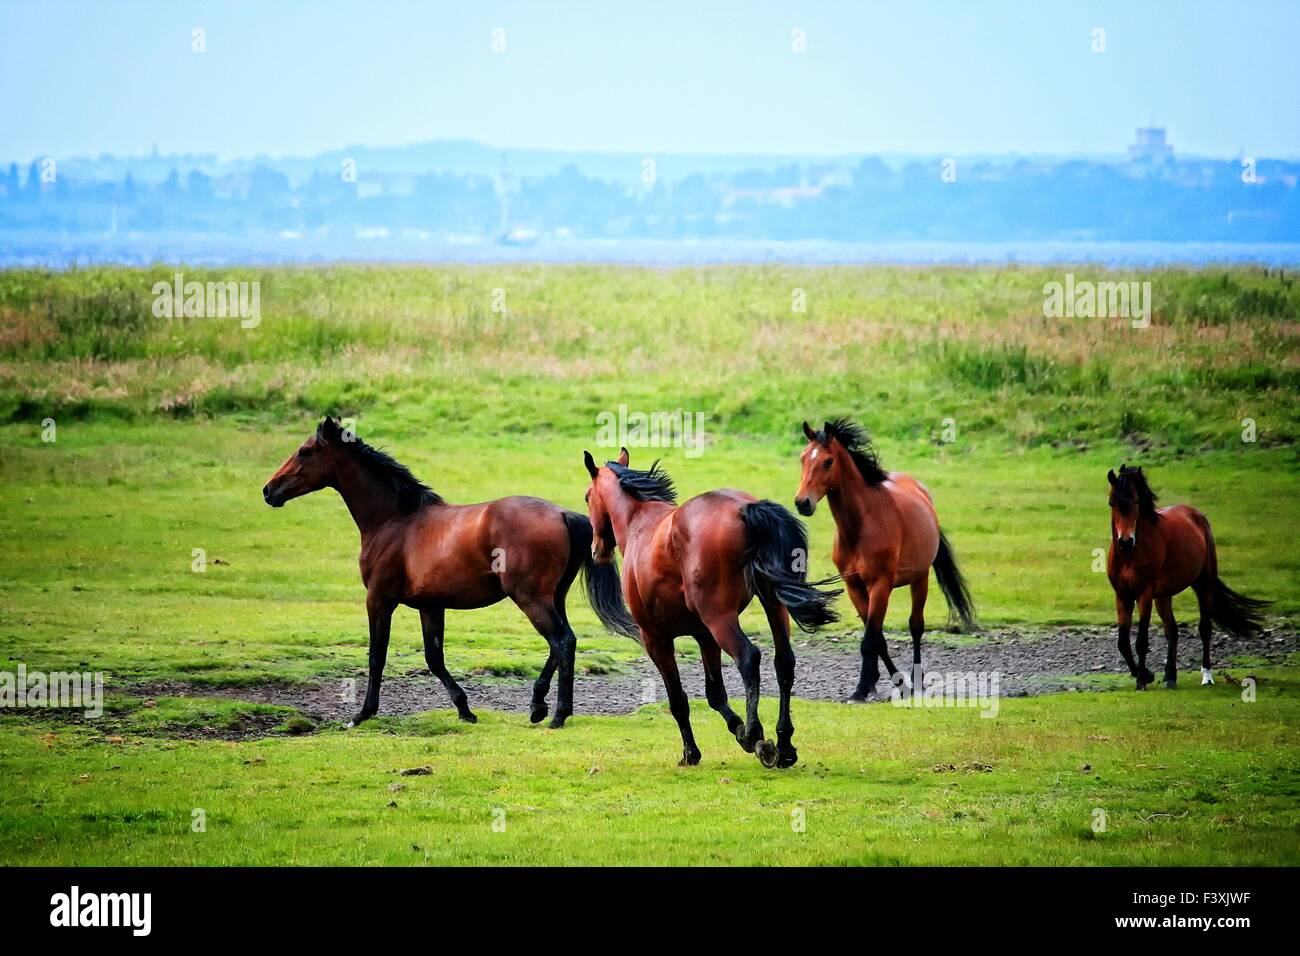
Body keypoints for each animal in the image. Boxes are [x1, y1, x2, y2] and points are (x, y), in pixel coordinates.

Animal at [262, 417, 636, 729]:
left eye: (304, 452)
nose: (268, 490)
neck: (395, 521)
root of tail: (563, 514)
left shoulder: (379, 600)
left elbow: (376, 656)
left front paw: (362, 714)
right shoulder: (431, 605)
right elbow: (434, 658)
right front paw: (464, 710)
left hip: (530, 598)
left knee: (562, 641)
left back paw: (557, 714)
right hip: (552, 598)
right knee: (561, 644)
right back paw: (537, 706)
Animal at [583, 447, 840, 768]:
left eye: (587, 497)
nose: (596, 551)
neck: (638, 521)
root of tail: (744, 508)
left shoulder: (656, 639)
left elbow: (678, 700)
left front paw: (693, 752)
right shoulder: (704, 636)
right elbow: (715, 693)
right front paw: (737, 729)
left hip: (721, 619)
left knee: (749, 657)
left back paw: (756, 737)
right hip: (772, 606)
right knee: (784, 663)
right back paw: (784, 744)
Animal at [794, 419, 975, 702]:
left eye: (827, 461)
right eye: (803, 458)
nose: (803, 502)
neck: (861, 525)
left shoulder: (880, 585)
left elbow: (870, 639)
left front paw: (861, 689)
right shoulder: (855, 587)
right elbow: (876, 637)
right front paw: (878, 683)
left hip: (920, 579)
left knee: (916, 626)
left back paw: (917, 681)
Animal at [1107, 464, 1271, 690]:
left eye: (1136, 501)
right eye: (1112, 502)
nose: (1125, 541)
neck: (1129, 556)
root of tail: (1197, 515)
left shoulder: (1144, 595)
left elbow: (1141, 641)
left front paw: (1141, 680)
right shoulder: (1122, 595)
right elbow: (1123, 642)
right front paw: (1147, 675)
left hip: (1204, 585)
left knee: (1204, 629)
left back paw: (1206, 676)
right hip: (1163, 596)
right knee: (1172, 631)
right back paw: (1170, 677)